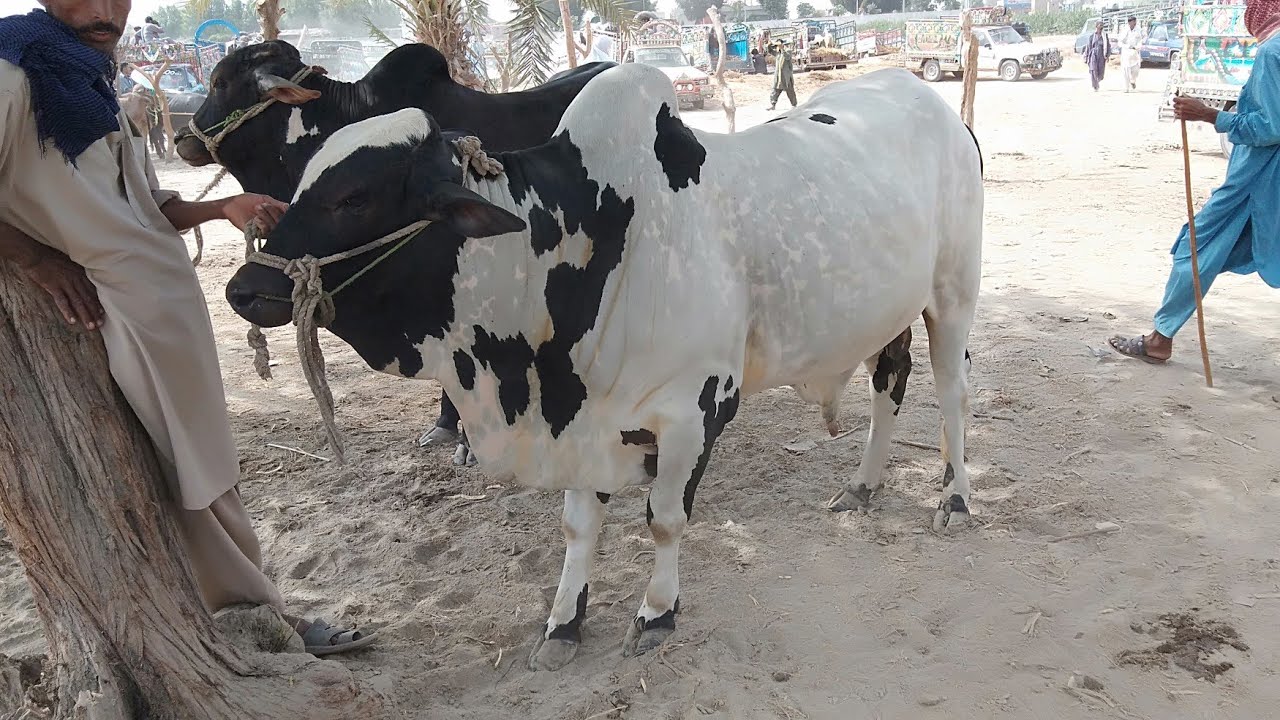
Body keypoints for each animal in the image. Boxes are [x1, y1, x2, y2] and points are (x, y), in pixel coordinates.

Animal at [225, 63, 983, 671]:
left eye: (354, 197)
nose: (243, 288)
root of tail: (929, 98)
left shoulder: (695, 412)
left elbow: (665, 520)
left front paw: (657, 613)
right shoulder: (582, 419)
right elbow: (578, 526)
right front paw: (563, 623)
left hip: (952, 296)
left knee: (951, 394)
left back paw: (954, 498)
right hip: (890, 312)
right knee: (890, 383)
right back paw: (863, 485)